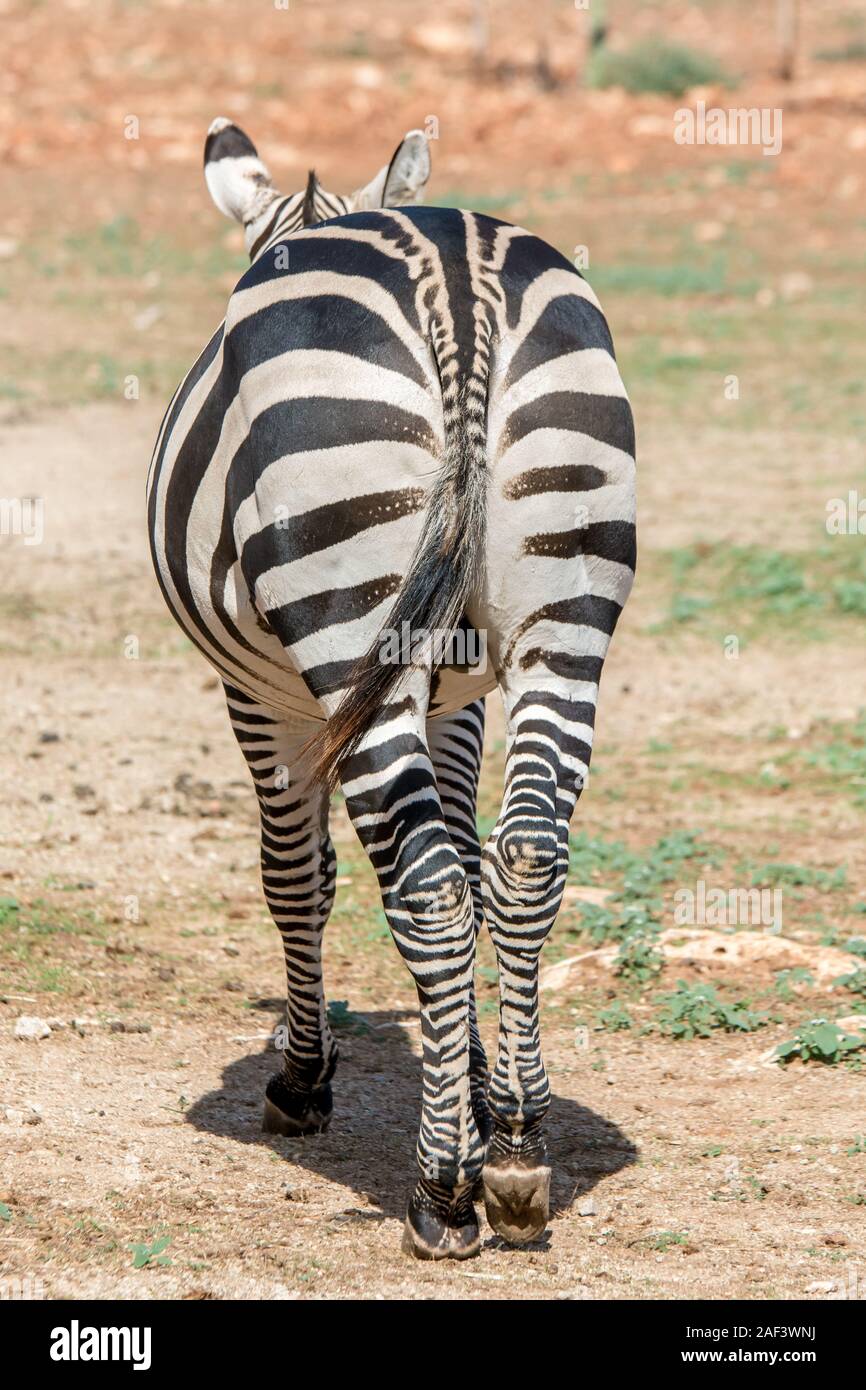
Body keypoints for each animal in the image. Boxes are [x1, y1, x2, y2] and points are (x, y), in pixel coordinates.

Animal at [147, 117, 636, 1260]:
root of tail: (456, 282)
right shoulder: (458, 694)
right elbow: (469, 844)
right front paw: (487, 1088)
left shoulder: (266, 699)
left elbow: (297, 877)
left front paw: (302, 1078)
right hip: (564, 619)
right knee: (524, 858)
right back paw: (515, 1151)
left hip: (342, 618)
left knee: (427, 889)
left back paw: (441, 1190)